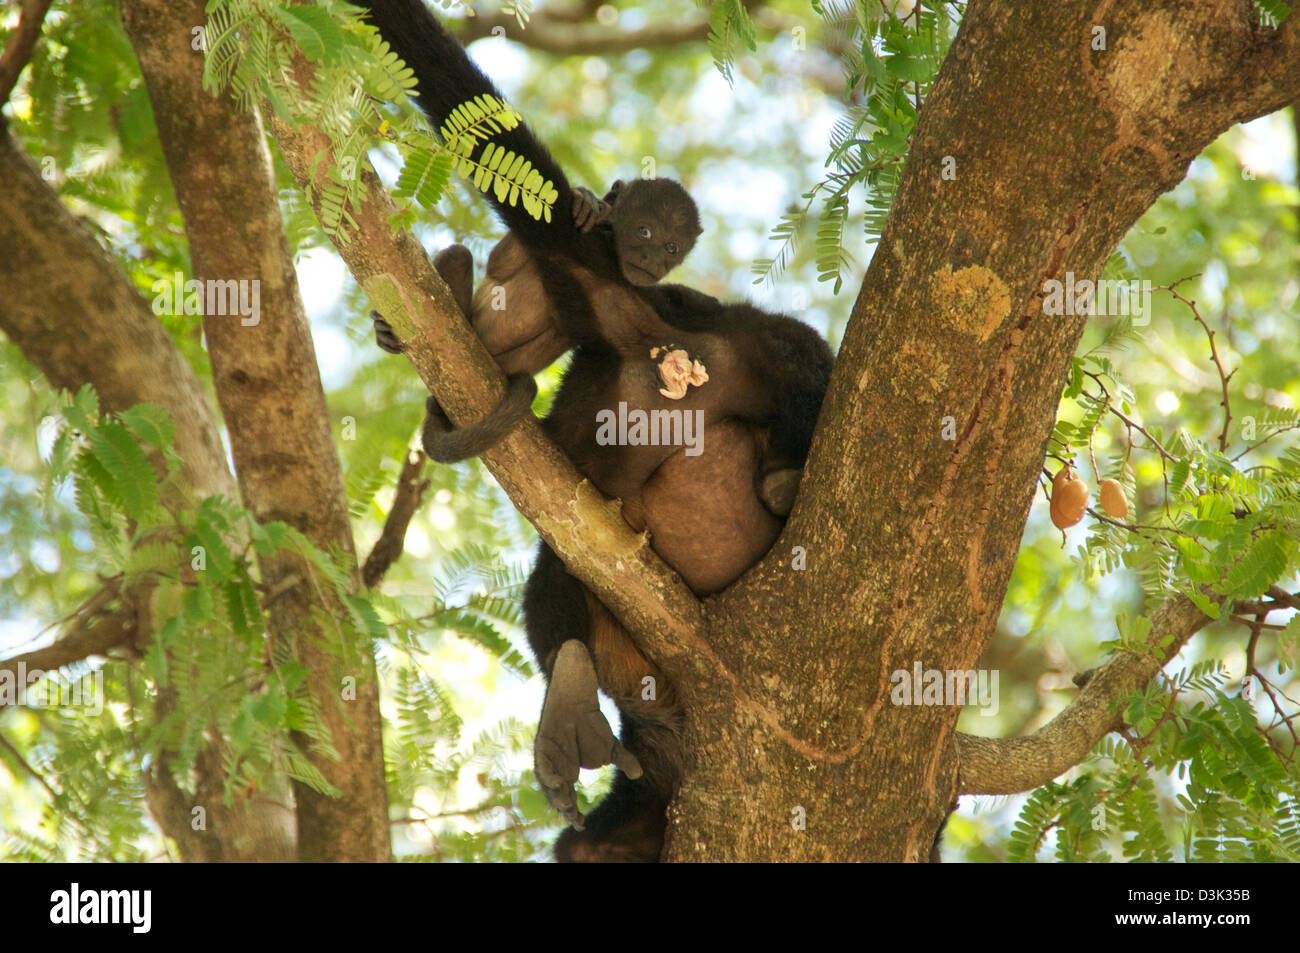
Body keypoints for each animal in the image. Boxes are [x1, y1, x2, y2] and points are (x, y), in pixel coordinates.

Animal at [357, 0, 833, 861]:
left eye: (664, 241)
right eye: (642, 235)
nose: (648, 261)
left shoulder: (680, 319)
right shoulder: (621, 294)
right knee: (559, 571)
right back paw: (574, 689)